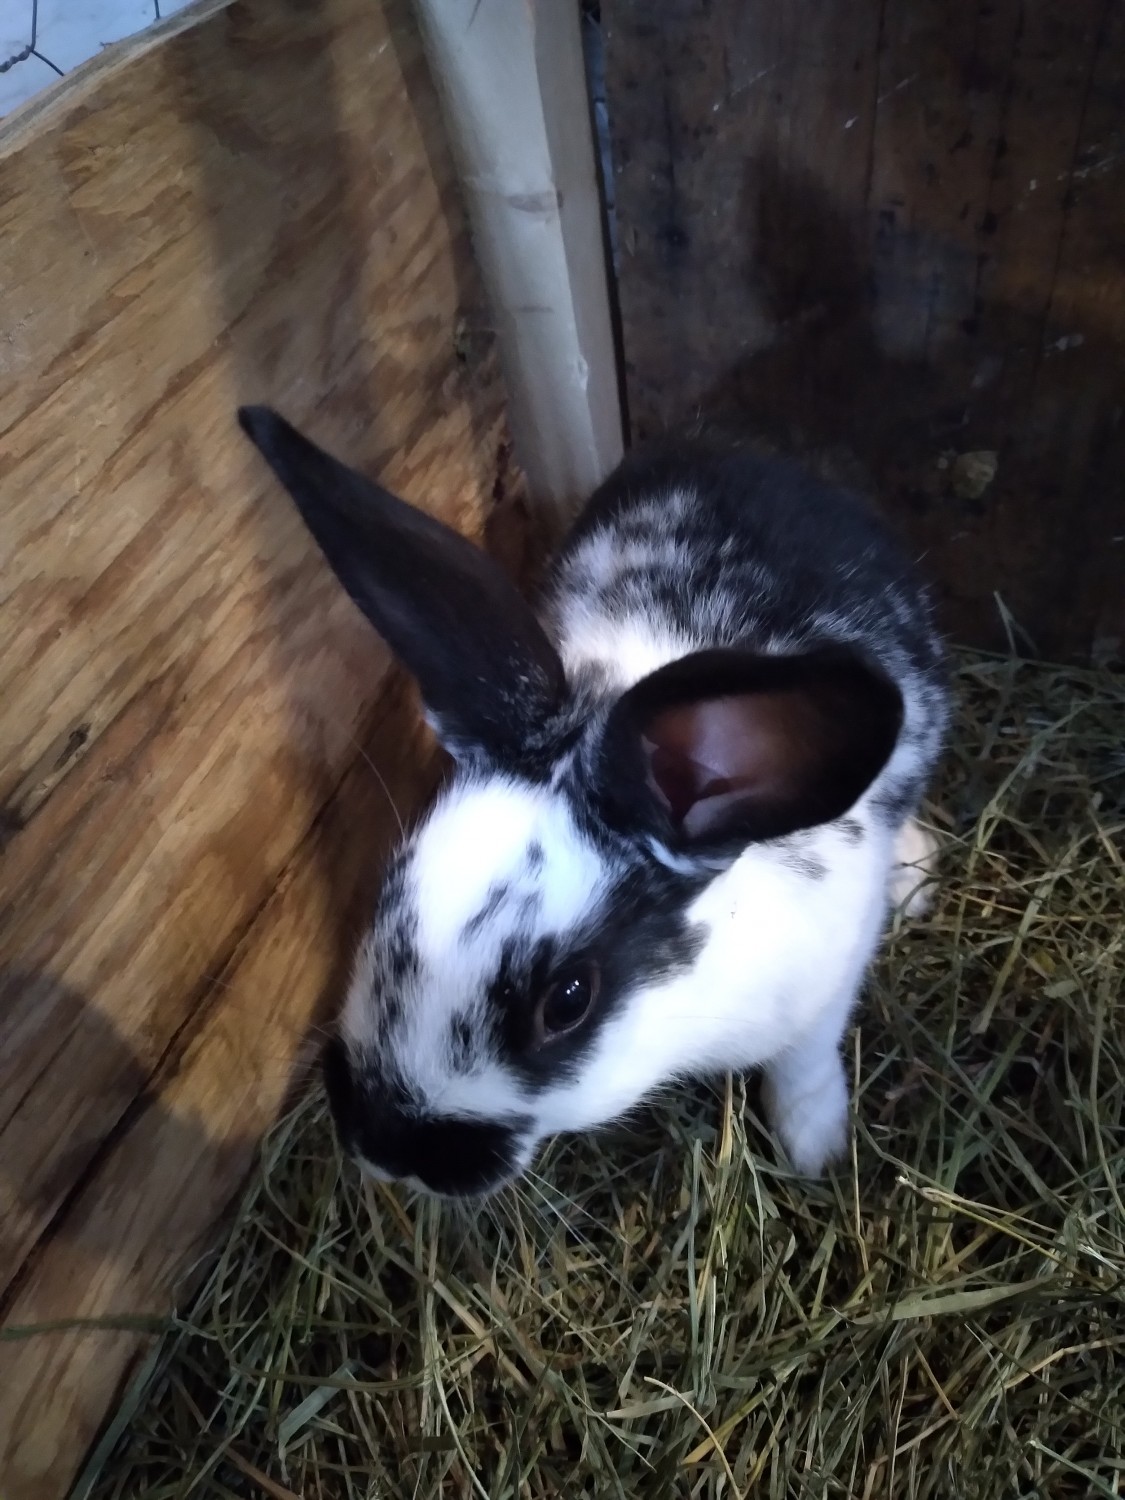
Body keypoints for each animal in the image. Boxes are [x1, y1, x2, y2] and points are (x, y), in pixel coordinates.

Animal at [238, 408, 948, 1197]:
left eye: (568, 1001)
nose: (387, 1149)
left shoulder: (828, 984)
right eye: (386, 895)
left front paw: (813, 1150)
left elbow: (805, 1065)